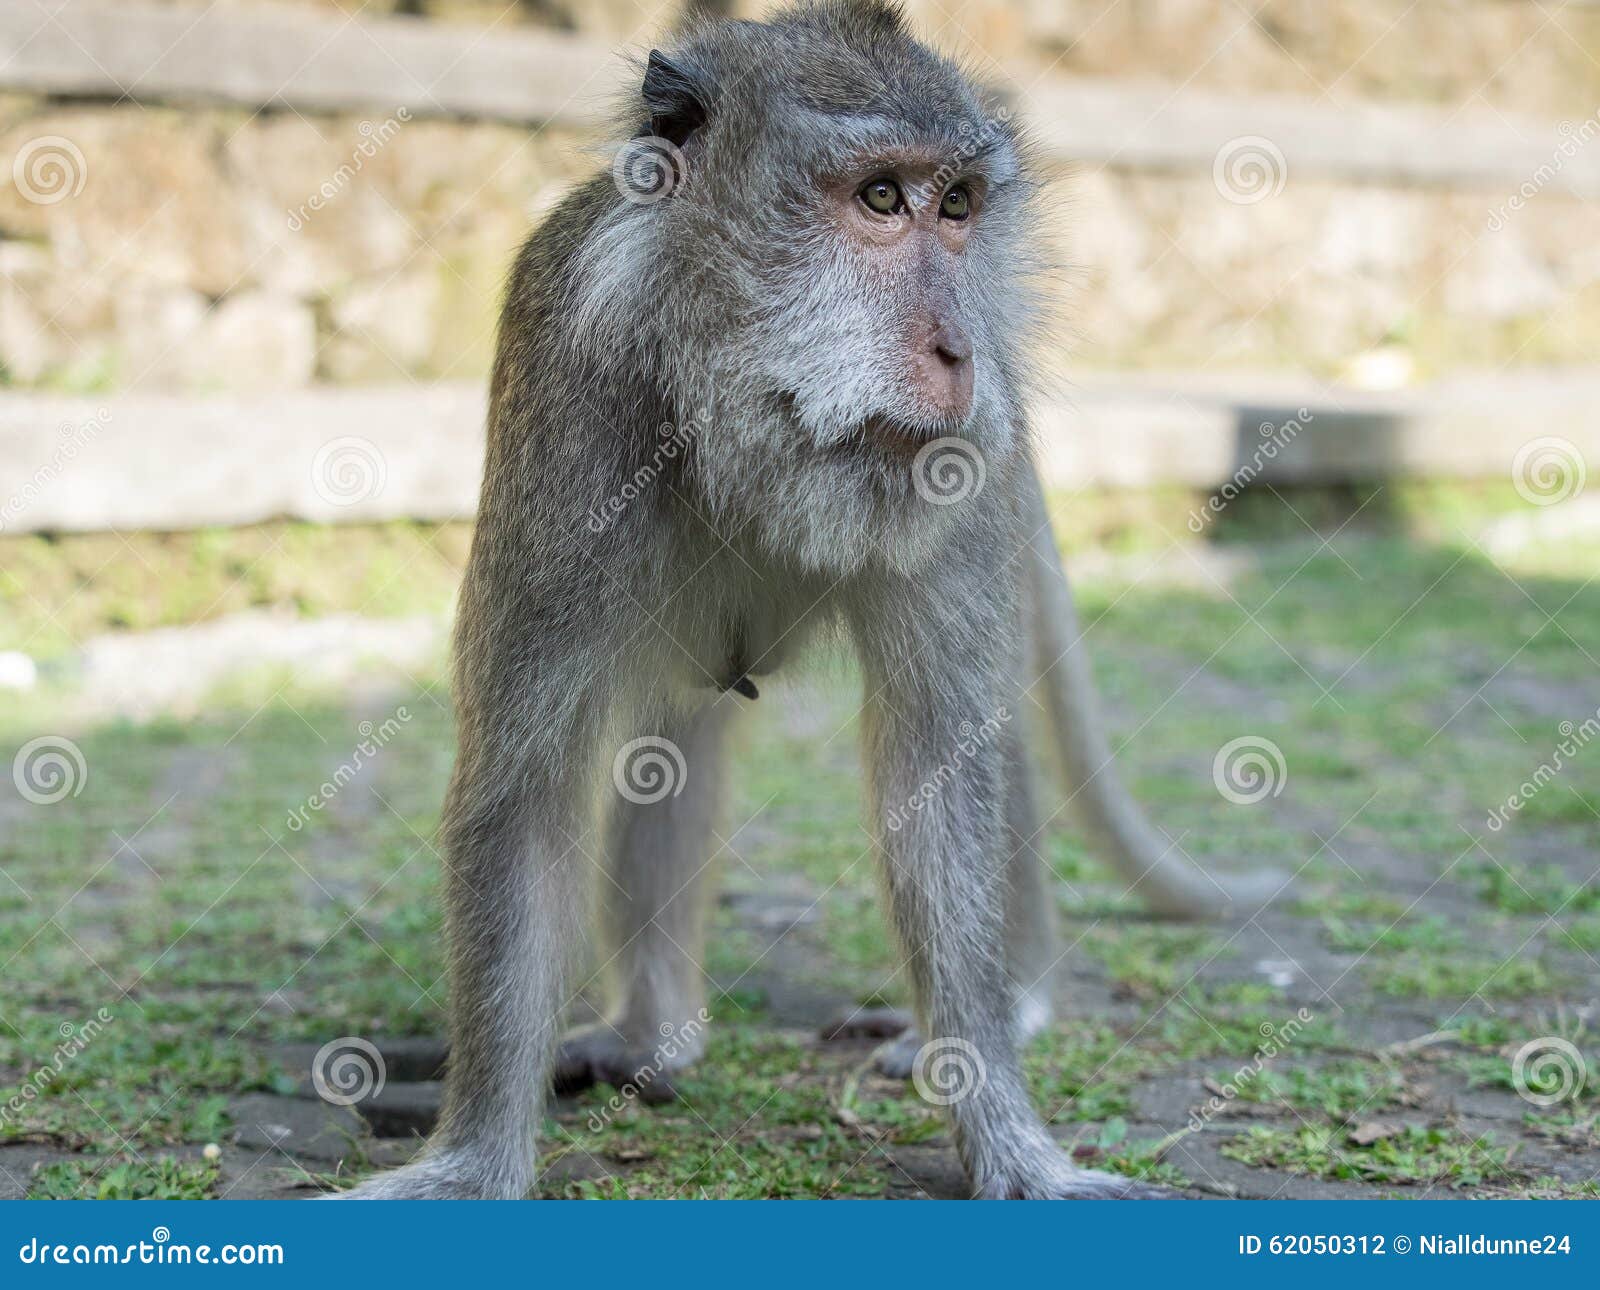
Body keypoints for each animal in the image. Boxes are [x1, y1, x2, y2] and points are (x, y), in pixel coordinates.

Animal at [337, 0, 1277, 1201]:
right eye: (879, 200)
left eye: (957, 207)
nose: (961, 352)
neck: (733, 412)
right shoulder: (573, 409)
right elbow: (530, 781)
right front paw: (474, 1163)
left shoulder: (960, 482)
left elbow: (938, 765)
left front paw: (1012, 1141)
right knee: (668, 729)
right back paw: (650, 1033)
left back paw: (1013, 997)